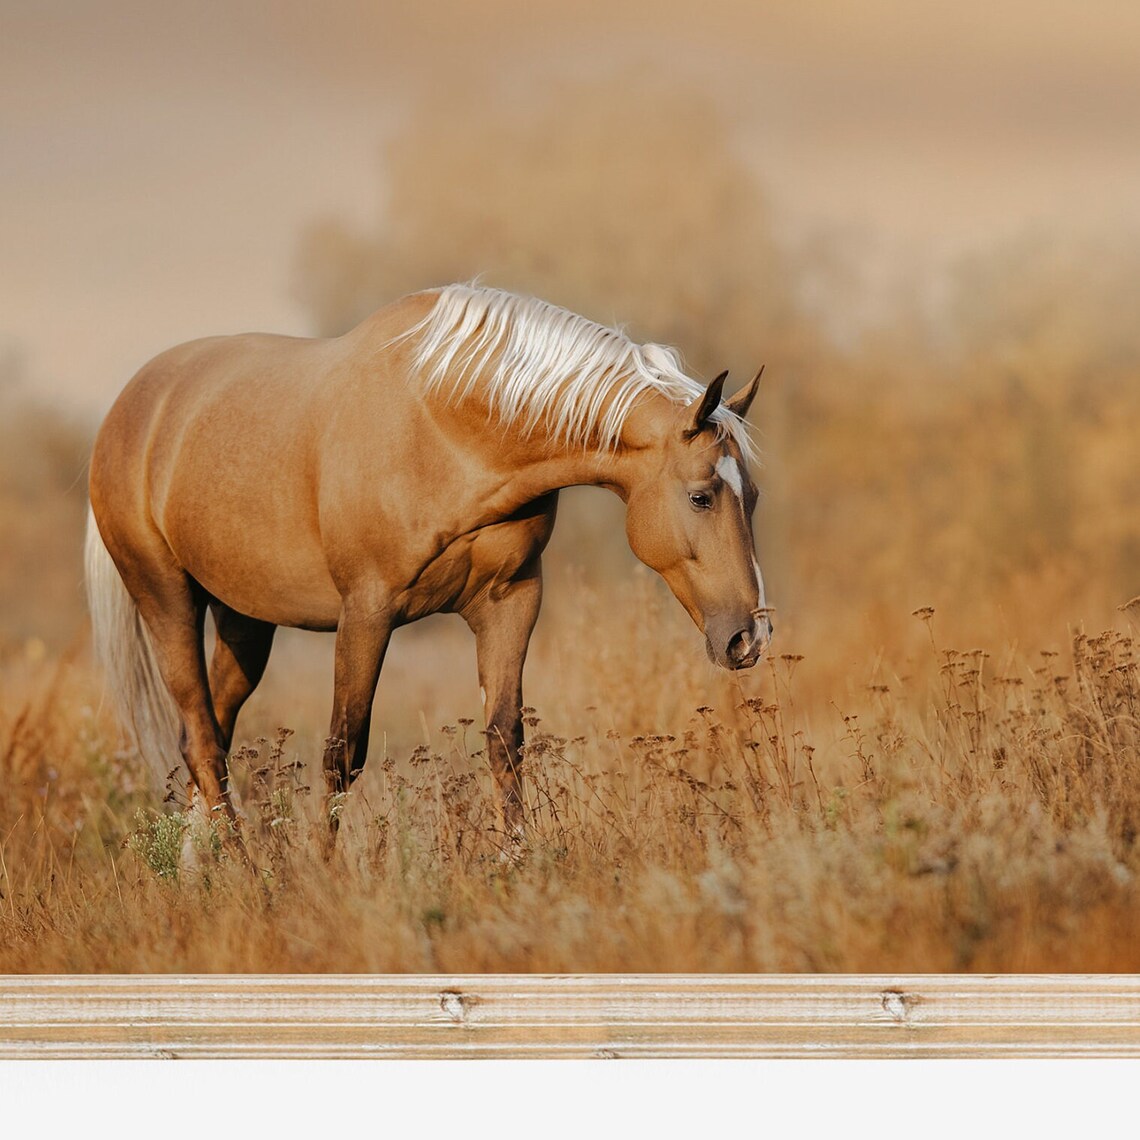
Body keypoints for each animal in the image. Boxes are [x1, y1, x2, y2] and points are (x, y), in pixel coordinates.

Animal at [85, 283, 772, 845]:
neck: (446, 428)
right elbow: (342, 753)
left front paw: (518, 862)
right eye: (701, 496)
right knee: (202, 743)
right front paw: (327, 878)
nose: (750, 637)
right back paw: (247, 874)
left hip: (244, 619)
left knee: (211, 739)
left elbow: (505, 740)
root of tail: (129, 410)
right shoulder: (366, 612)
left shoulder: (512, 601)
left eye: (754, 497)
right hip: (167, 599)